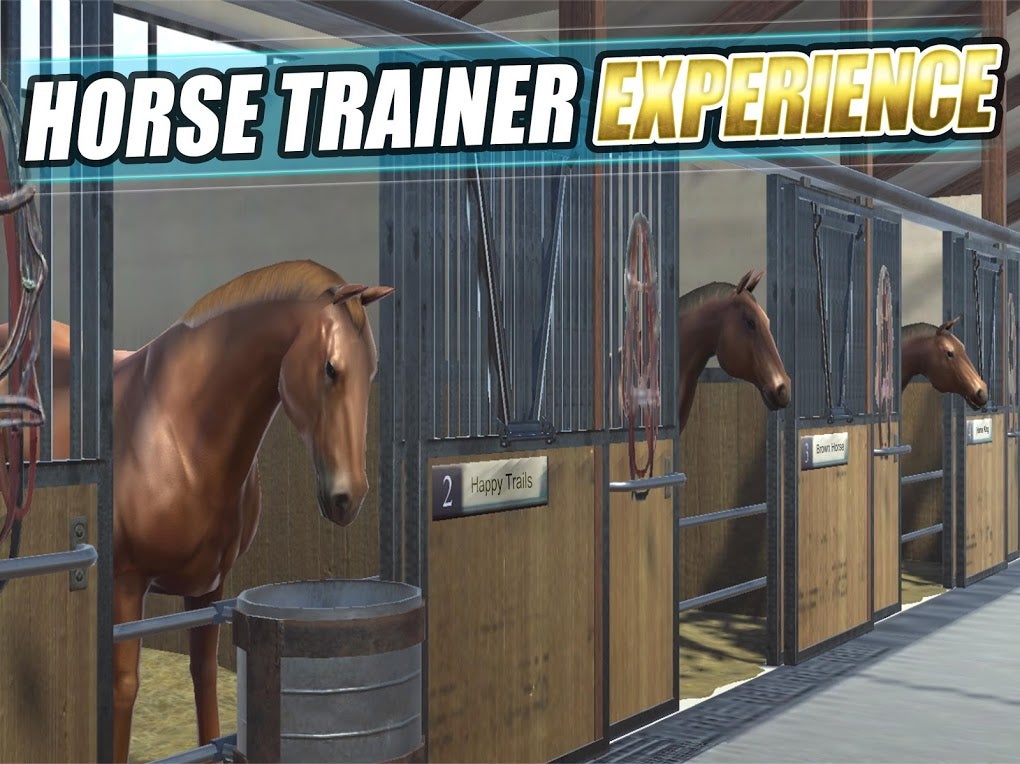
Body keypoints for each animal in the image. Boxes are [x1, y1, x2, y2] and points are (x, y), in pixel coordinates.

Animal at [0, 259, 394, 762]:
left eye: (372, 371)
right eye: (331, 368)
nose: (350, 497)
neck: (180, 434)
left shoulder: (210, 587)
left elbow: (204, 675)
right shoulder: (125, 584)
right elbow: (123, 687)